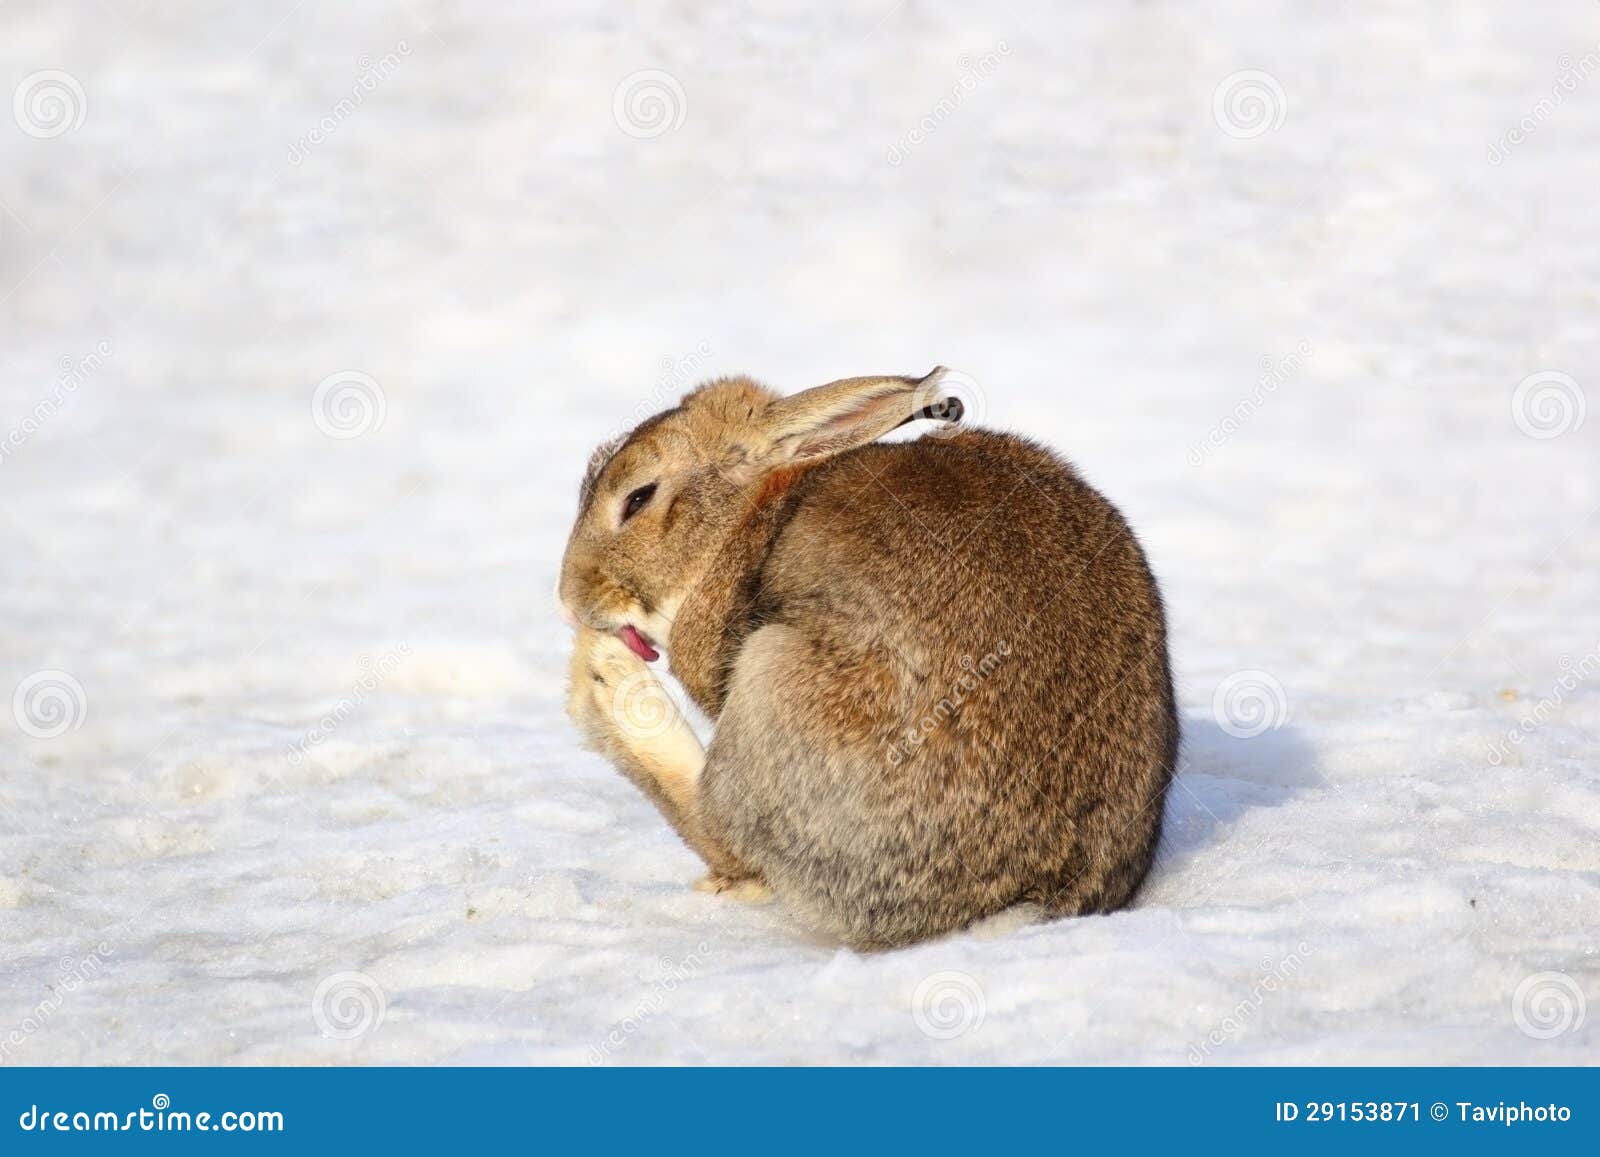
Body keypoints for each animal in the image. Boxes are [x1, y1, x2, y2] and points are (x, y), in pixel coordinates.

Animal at [559, 368, 1178, 949]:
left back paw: (604, 684)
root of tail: (1018, 898)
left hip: (772, 682)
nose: (569, 600)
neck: (747, 519)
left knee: (729, 840)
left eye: (639, 498)